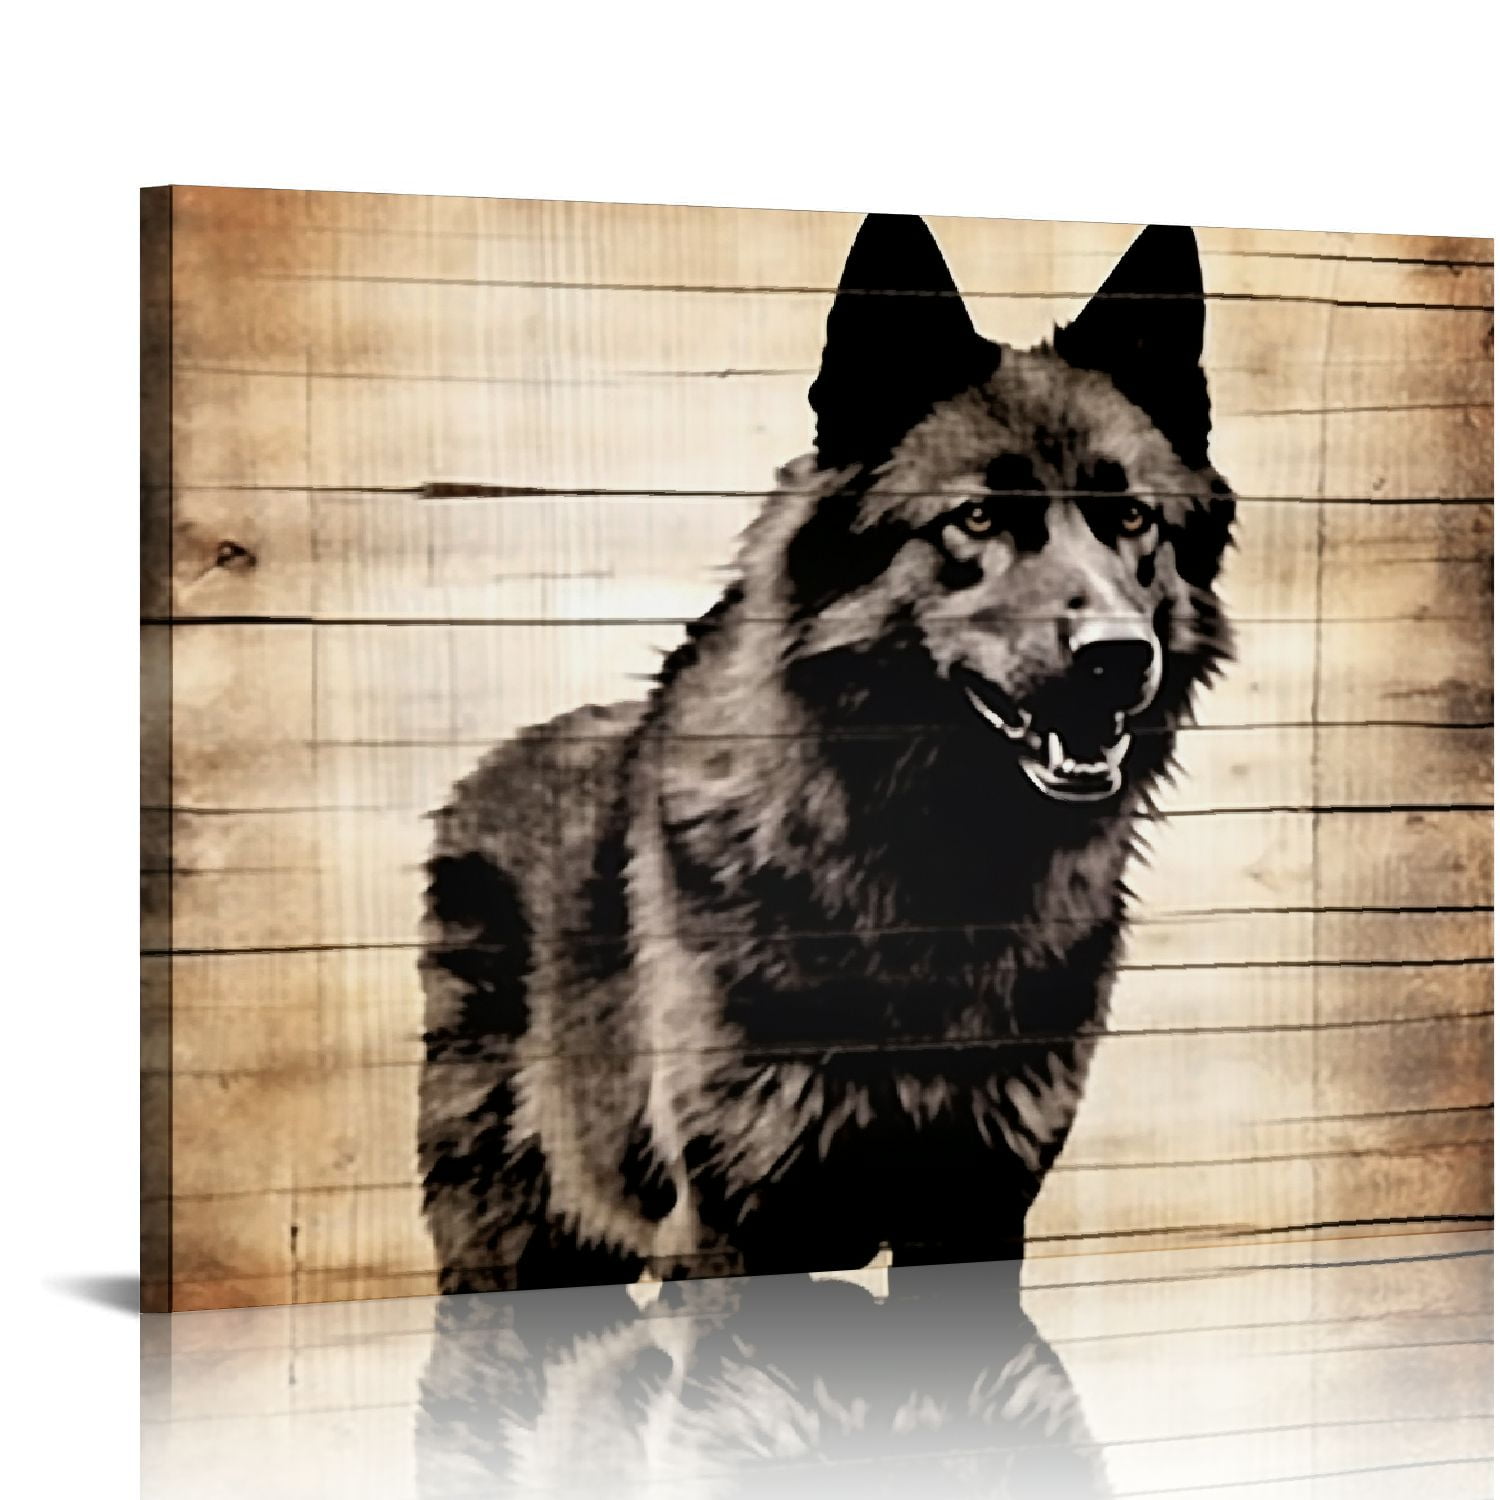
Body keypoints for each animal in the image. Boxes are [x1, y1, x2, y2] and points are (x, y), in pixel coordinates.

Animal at [418, 213, 1236, 1293]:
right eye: (977, 517)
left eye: (1132, 518)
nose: (1117, 659)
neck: (936, 880)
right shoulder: (730, 1225)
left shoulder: (978, 1211)